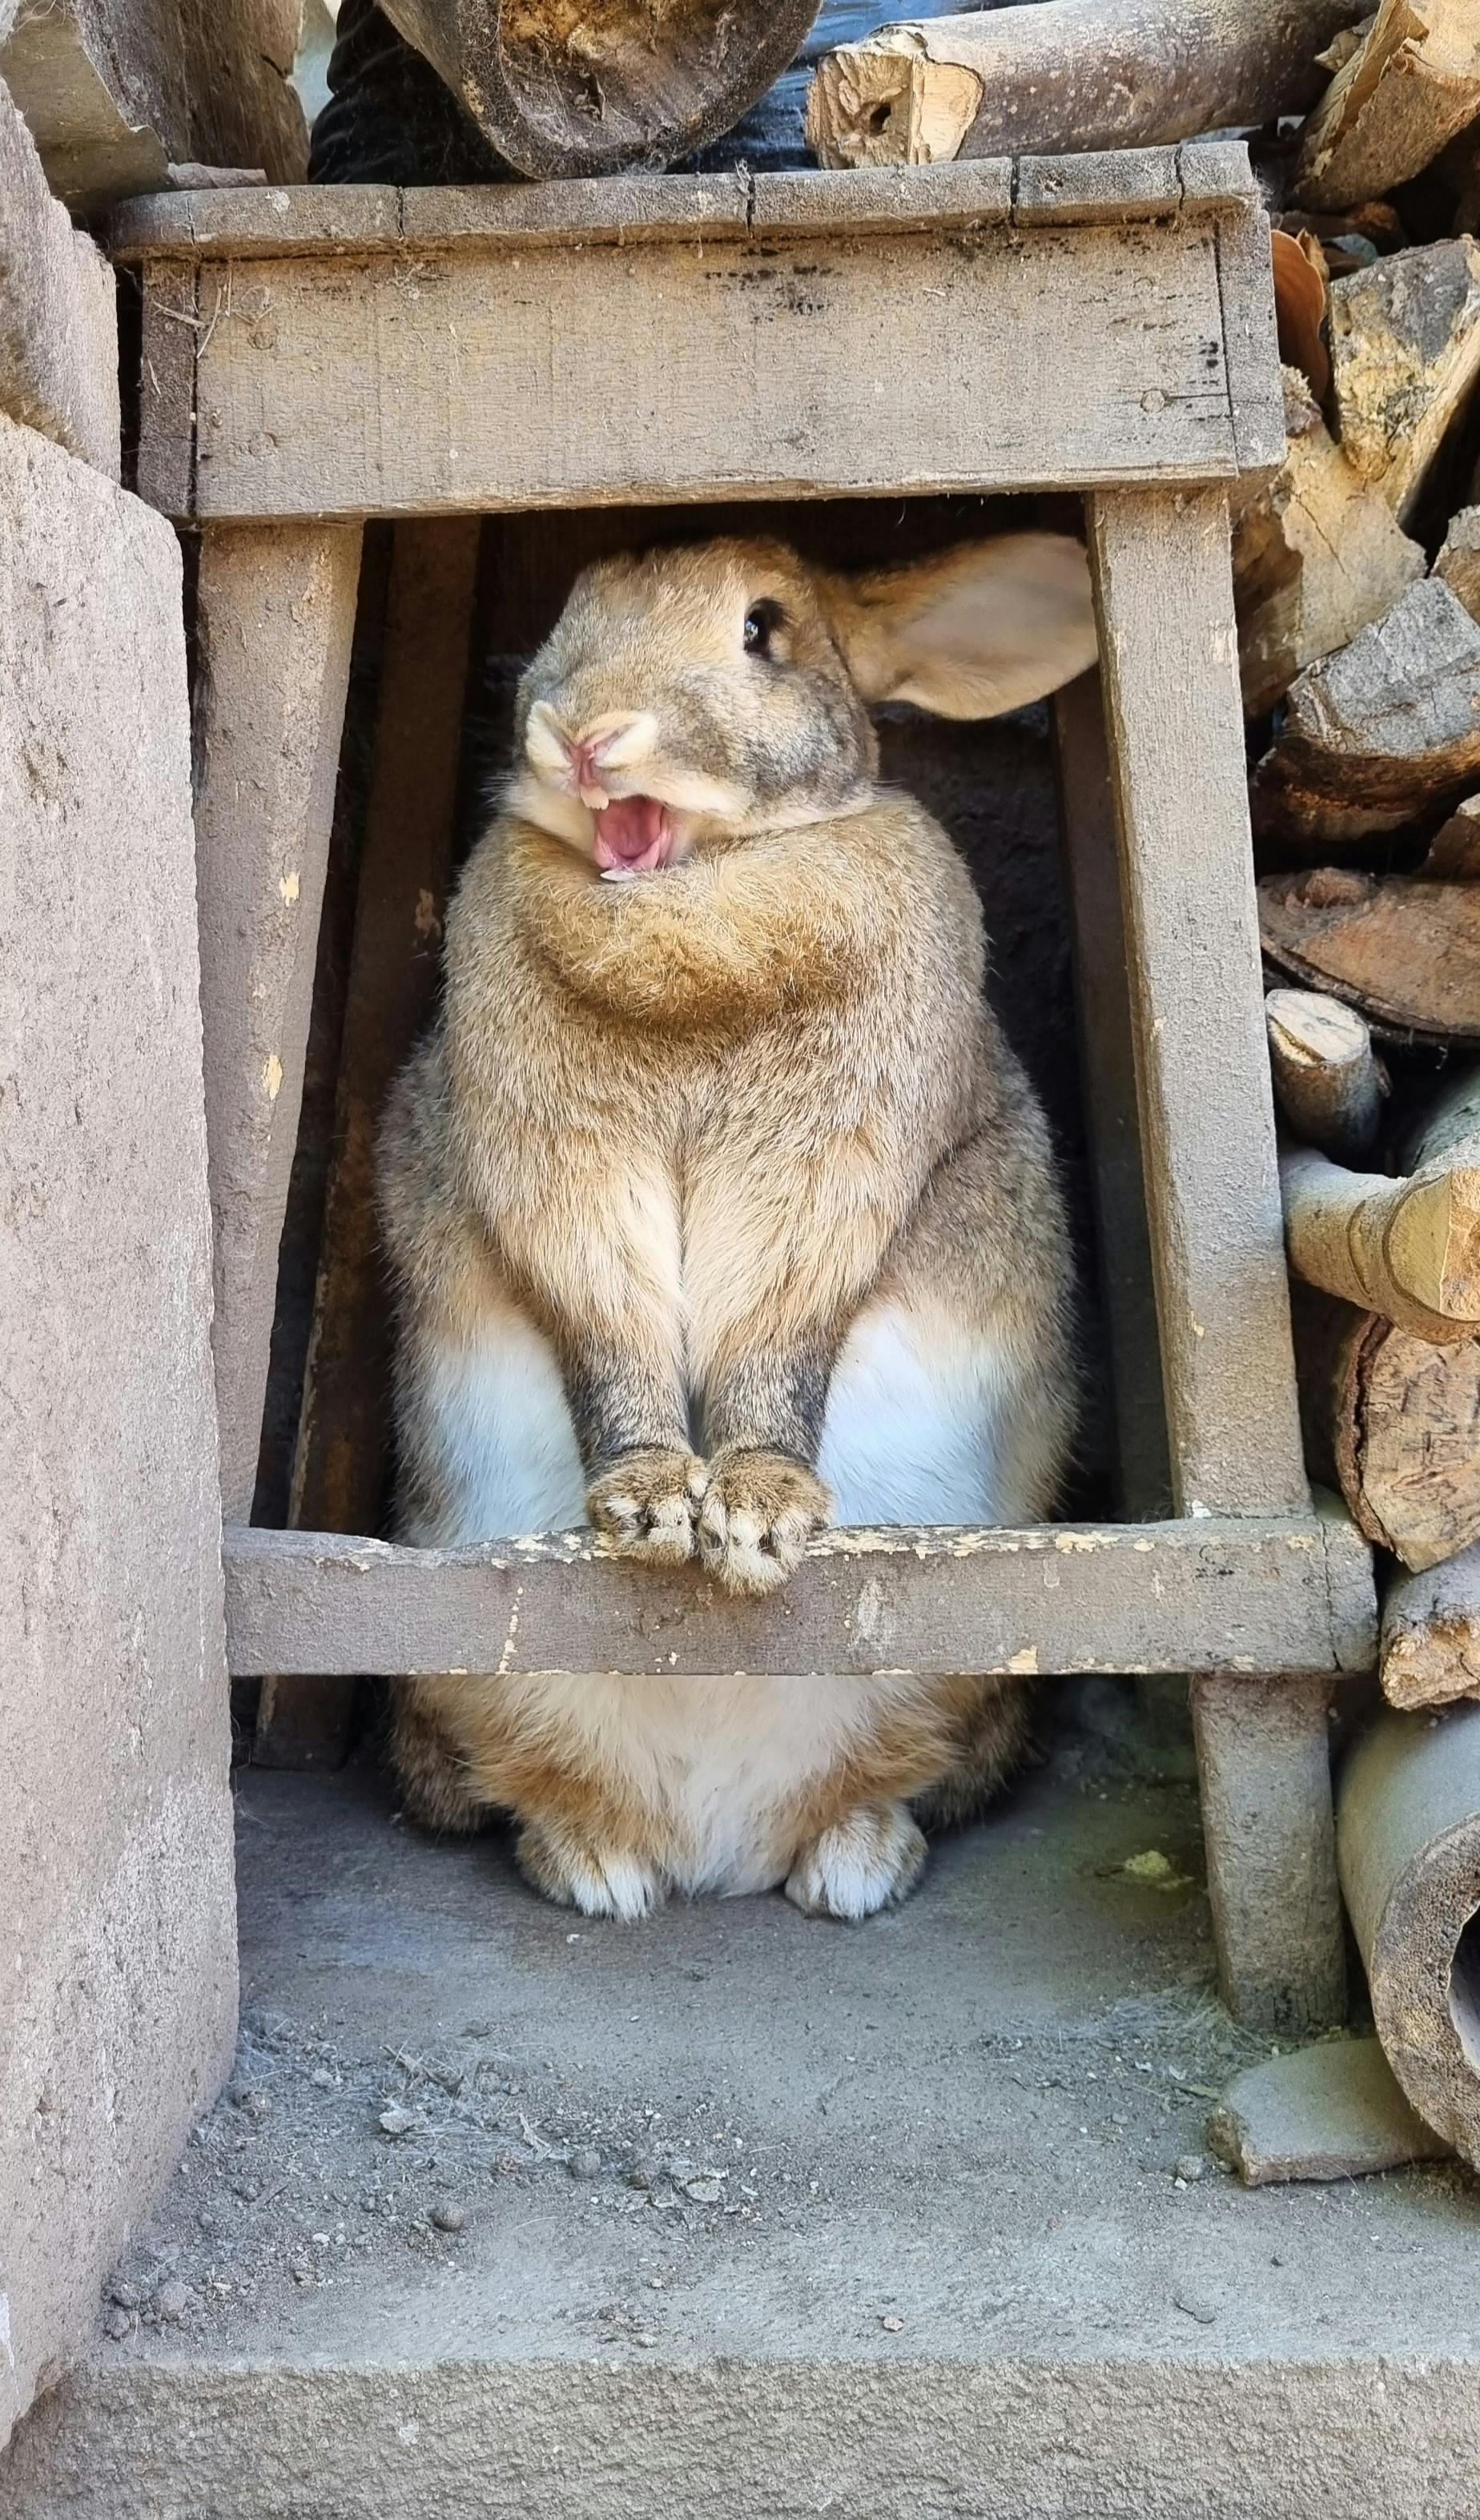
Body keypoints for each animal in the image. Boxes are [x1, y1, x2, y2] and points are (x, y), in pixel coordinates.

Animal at [378, 528, 1094, 1923]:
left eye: (763, 629)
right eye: (574, 605)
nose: (580, 732)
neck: (687, 904)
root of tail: (714, 1837)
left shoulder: (826, 1186)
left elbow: (777, 1345)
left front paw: (757, 1515)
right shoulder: (560, 1189)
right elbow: (610, 1340)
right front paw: (653, 1506)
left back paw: (853, 1862)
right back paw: (597, 1862)